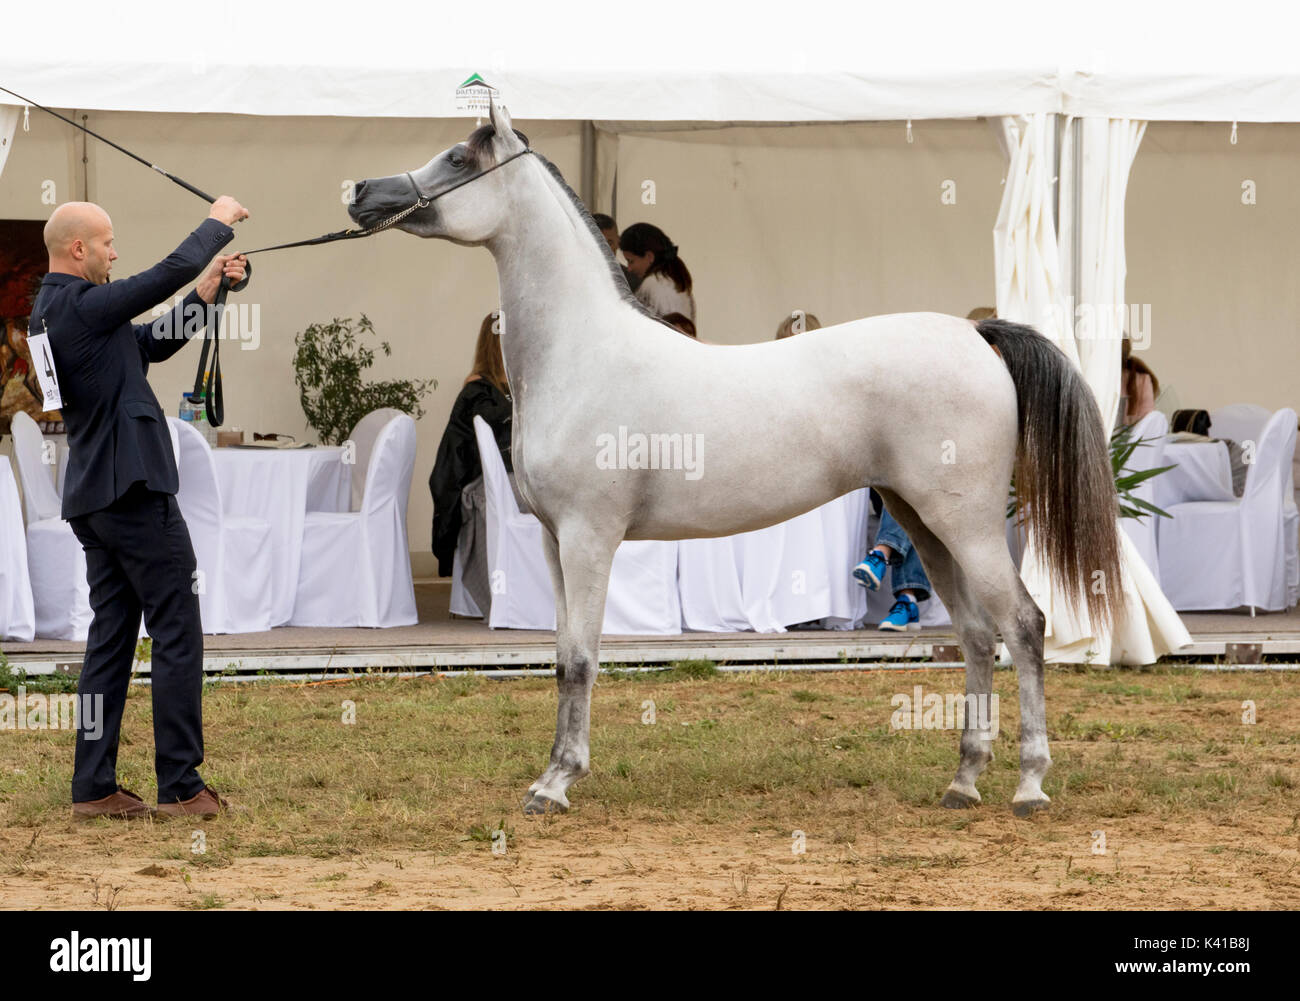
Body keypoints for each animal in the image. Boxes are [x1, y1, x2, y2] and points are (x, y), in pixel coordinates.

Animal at [349, 98, 1123, 818]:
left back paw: (1028, 784)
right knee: (975, 634)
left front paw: (556, 783)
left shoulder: (589, 538)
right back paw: (963, 781)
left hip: (967, 524)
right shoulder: (552, 541)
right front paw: (554, 774)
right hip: (924, 521)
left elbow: (580, 659)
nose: (359, 191)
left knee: (1023, 625)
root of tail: (977, 338)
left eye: (458, 157)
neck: (583, 353)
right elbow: (564, 656)